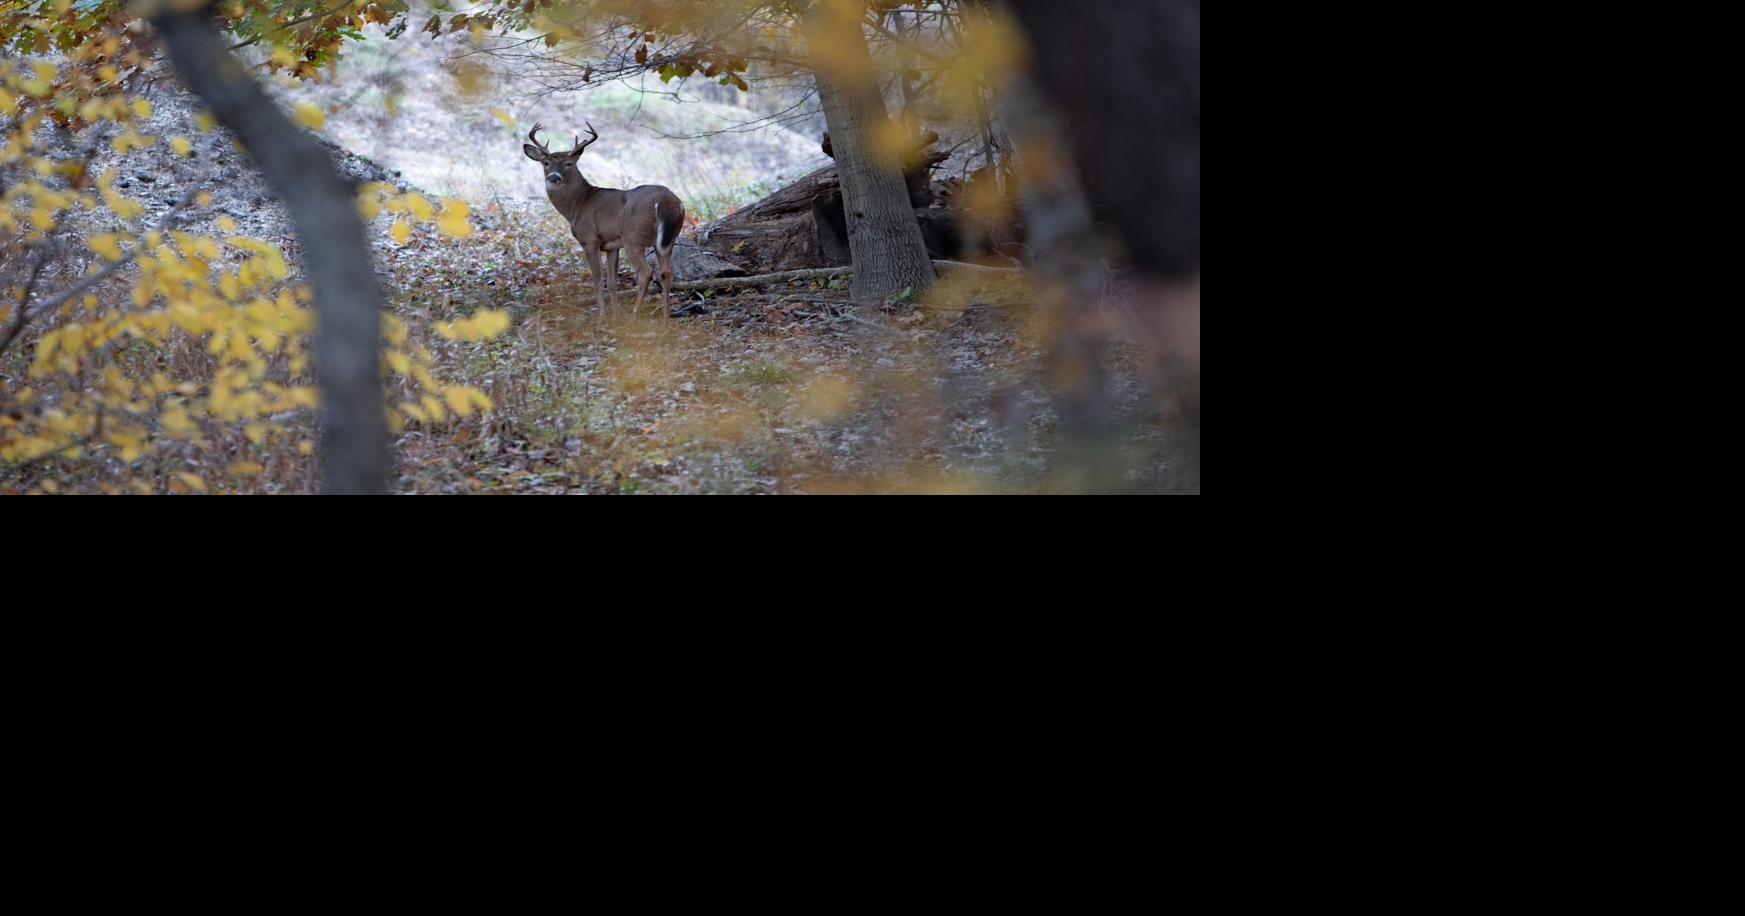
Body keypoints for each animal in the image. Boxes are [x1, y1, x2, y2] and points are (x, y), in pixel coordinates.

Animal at [523, 122, 685, 325]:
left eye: (569, 163)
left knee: (645, 273)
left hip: (633, 237)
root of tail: (665, 201)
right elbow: (612, 282)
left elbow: (597, 279)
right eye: (546, 163)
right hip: (667, 238)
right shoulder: (611, 246)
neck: (577, 204)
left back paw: (634, 317)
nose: (553, 177)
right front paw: (615, 316)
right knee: (666, 272)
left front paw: (601, 318)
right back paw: (665, 319)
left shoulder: (589, 240)